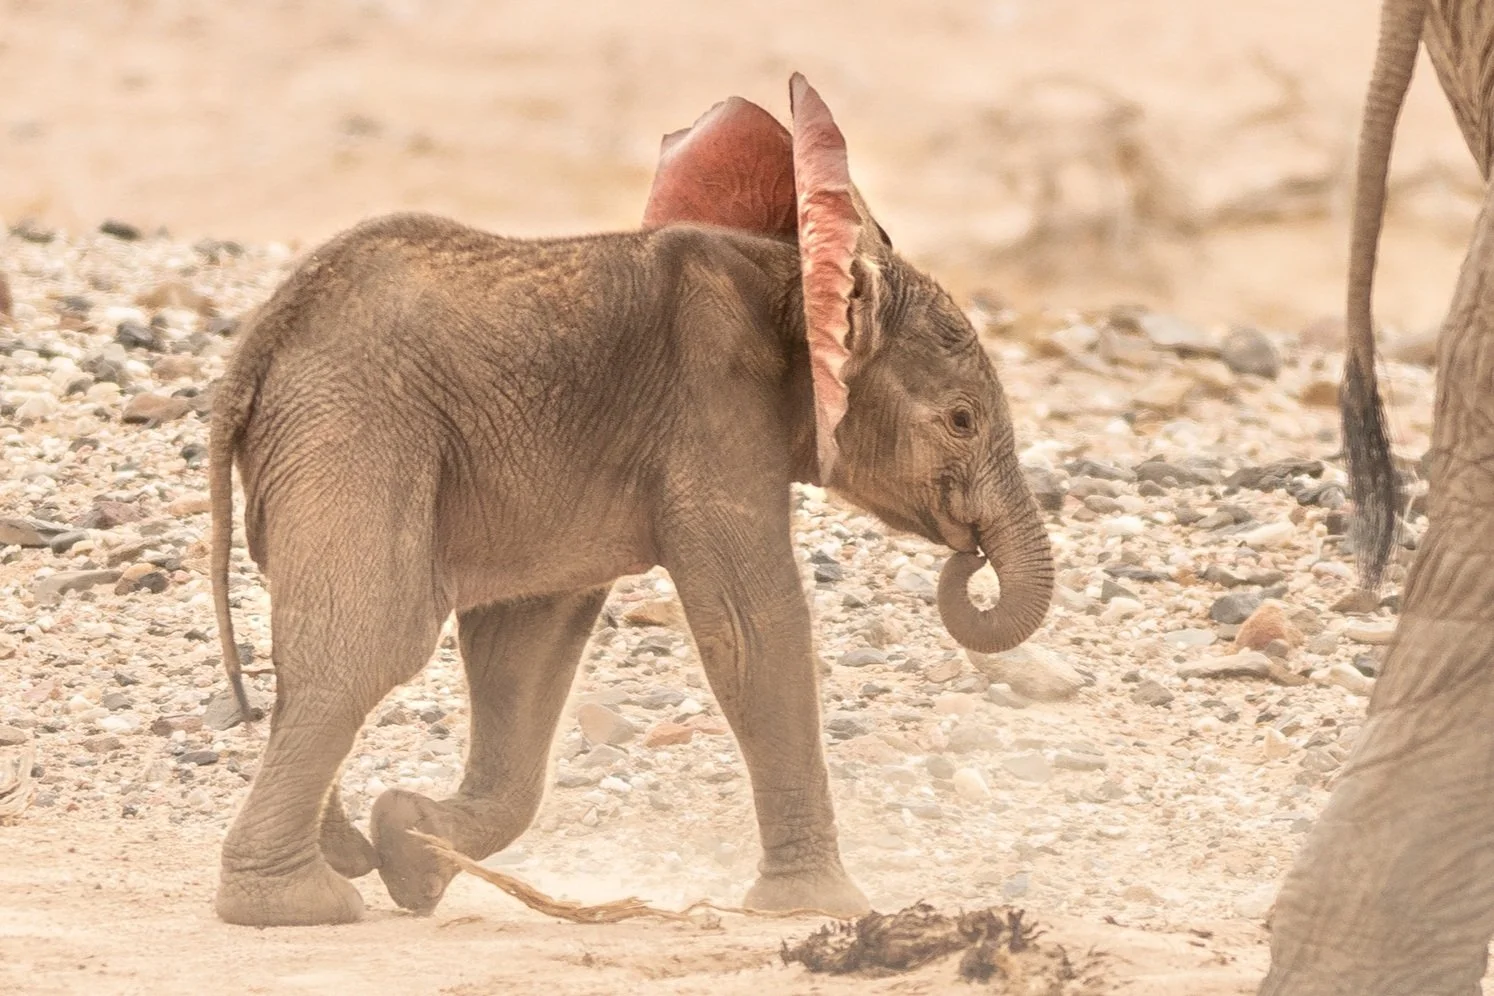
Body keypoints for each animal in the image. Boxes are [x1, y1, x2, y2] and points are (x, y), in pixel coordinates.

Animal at [206, 73, 1055, 927]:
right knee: (366, 648)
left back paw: (348, 853)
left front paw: (412, 846)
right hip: (356, 432)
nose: (969, 555)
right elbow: (755, 631)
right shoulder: (712, 413)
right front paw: (824, 908)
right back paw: (296, 905)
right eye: (962, 420)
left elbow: (527, 645)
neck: (793, 276)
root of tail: (261, 343)